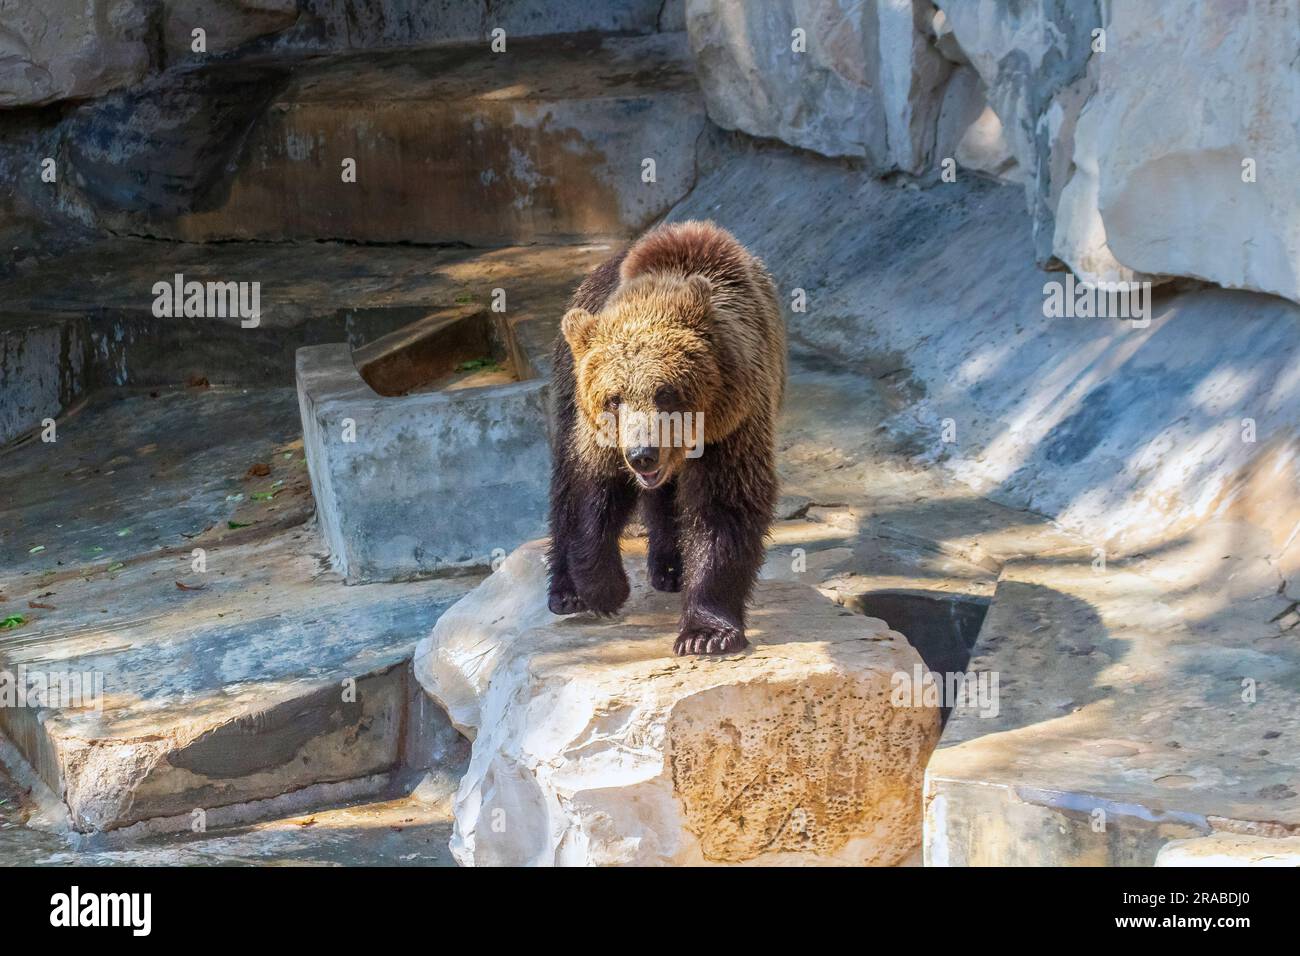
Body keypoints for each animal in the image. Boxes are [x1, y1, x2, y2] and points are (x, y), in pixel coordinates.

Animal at [547, 220, 786, 655]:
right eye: (613, 398)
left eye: (666, 392)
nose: (643, 454)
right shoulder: (601, 435)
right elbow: (590, 489)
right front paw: (603, 588)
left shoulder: (734, 424)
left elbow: (724, 506)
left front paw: (706, 633)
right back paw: (564, 592)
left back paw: (670, 567)